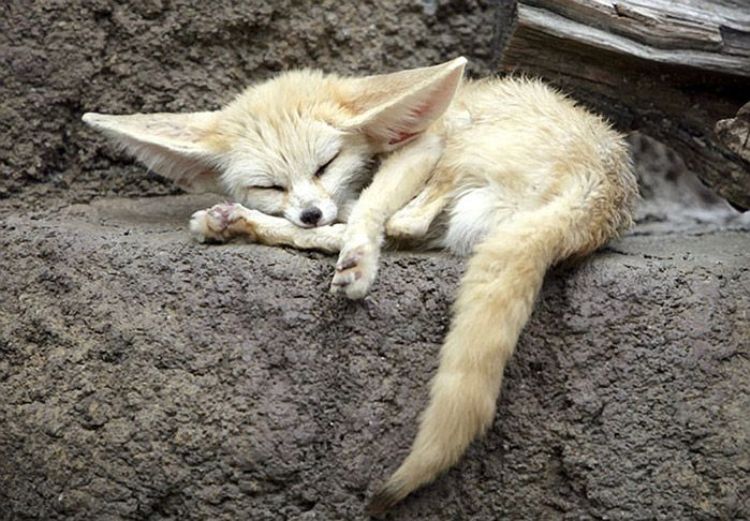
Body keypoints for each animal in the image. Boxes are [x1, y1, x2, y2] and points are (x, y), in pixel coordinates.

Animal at [82, 57, 638, 514]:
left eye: (324, 165)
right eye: (270, 185)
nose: (309, 211)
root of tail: (599, 192)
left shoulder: (420, 145)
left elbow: (372, 210)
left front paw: (357, 258)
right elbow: (357, 218)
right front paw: (267, 221)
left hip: (460, 143)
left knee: (404, 220)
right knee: (397, 227)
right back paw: (244, 224)